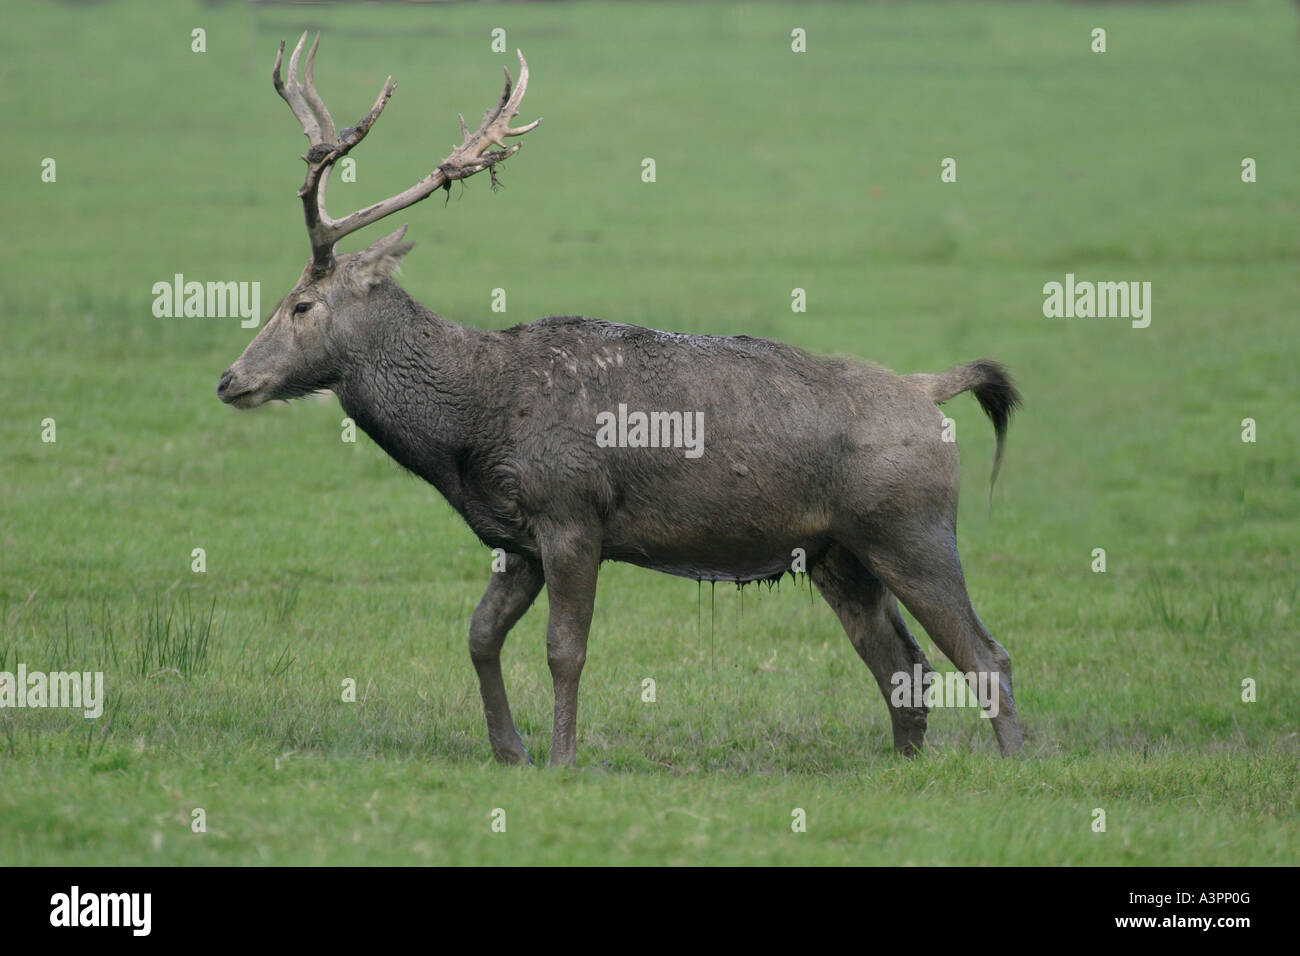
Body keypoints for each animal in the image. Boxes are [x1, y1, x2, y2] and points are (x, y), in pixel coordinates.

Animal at [219, 34, 1025, 767]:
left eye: (302, 304)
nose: (230, 379)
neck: (472, 428)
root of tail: (928, 389)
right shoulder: (517, 535)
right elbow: (479, 636)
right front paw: (507, 750)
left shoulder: (572, 511)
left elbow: (564, 649)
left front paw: (560, 759)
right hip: (839, 553)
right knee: (902, 664)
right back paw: (905, 765)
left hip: (912, 526)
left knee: (985, 654)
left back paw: (1017, 764)